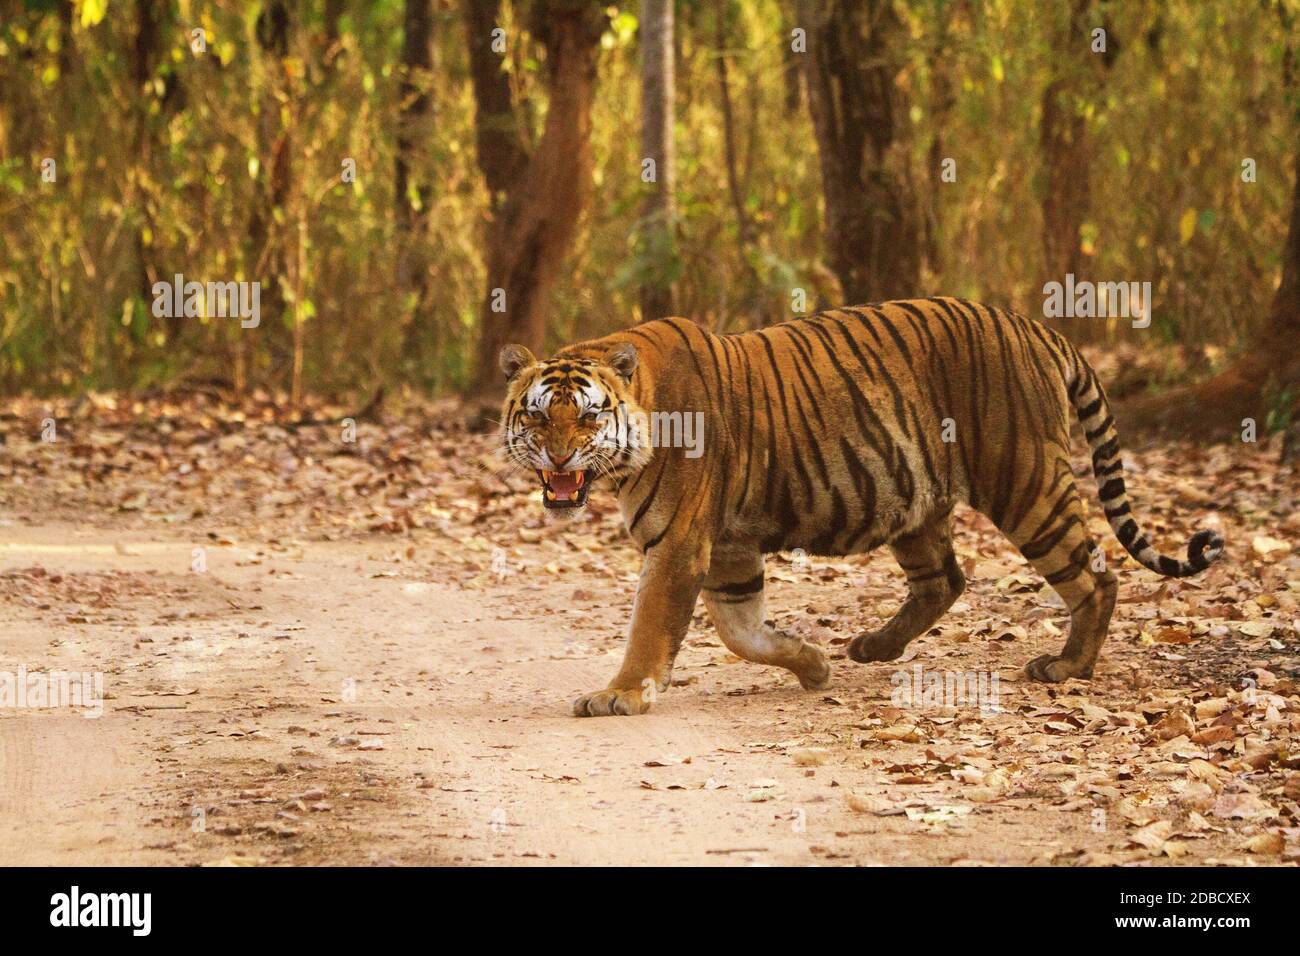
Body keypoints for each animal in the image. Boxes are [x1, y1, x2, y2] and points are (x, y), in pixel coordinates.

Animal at [498, 298, 1224, 717]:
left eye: (588, 417)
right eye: (536, 416)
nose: (558, 460)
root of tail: (1038, 328)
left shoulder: (679, 542)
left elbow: (652, 627)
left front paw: (620, 694)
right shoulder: (728, 549)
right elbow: (741, 630)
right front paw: (813, 665)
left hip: (1026, 481)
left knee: (1096, 575)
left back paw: (1067, 667)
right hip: (913, 496)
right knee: (946, 579)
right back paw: (873, 646)